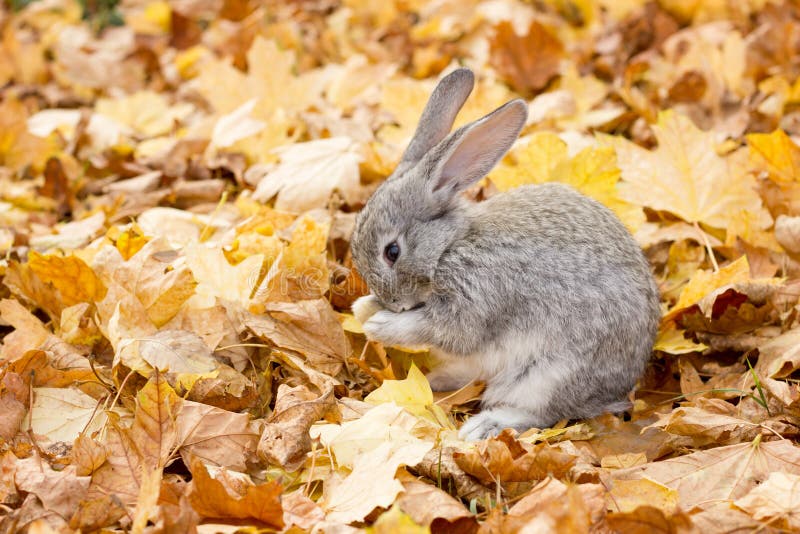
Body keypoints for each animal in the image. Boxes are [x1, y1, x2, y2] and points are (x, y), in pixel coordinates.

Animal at [350, 68, 661, 441]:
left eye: (392, 252)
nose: (393, 303)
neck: (448, 246)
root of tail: (621, 387)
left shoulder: (475, 300)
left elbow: (438, 329)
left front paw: (380, 324)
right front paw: (363, 309)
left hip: (548, 376)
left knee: (542, 413)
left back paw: (483, 426)